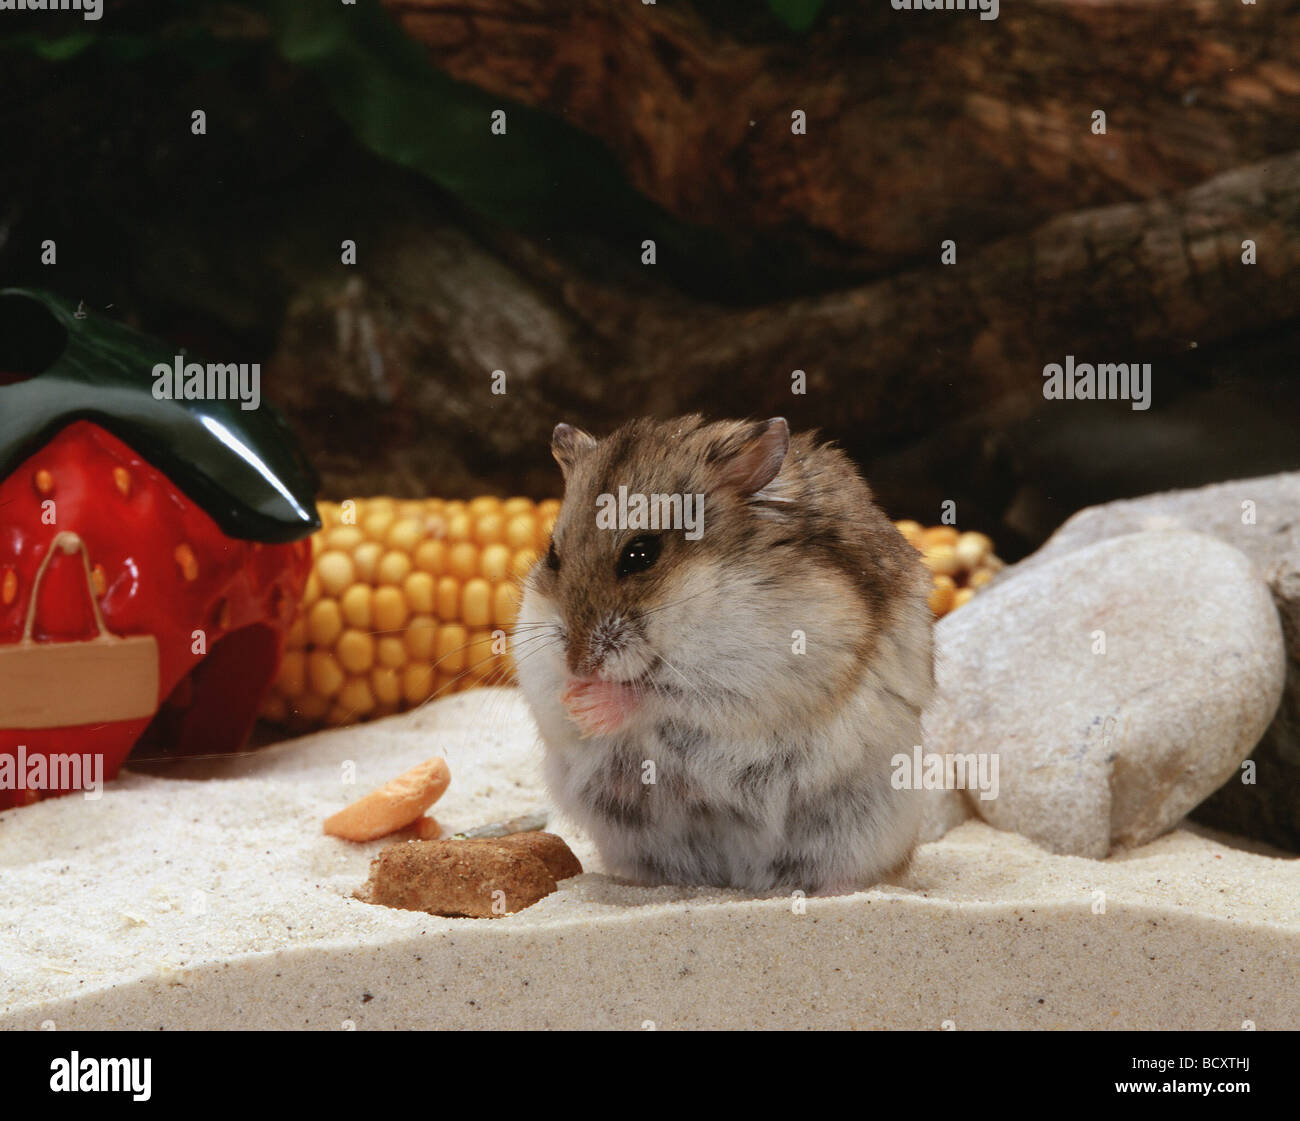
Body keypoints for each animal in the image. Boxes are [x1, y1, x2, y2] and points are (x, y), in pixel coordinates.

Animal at [513, 415, 934, 894]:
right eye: (553, 555)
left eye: (641, 553)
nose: (578, 666)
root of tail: (739, 879)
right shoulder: (535, 662)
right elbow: (554, 705)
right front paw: (572, 699)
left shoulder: (759, 677)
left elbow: (660, 697)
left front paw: (592, 701)